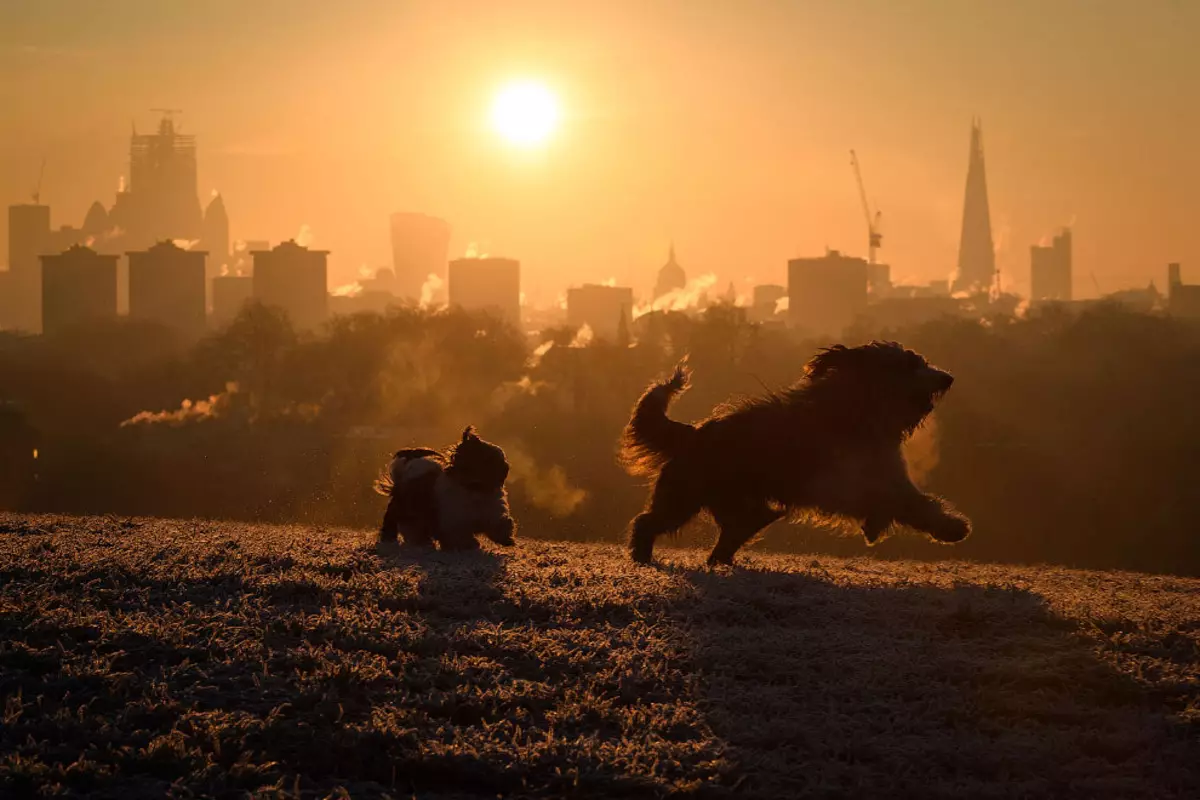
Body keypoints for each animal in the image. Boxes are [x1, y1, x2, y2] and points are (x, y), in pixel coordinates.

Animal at [374, 424, 516, 551]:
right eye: (491, 458)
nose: (507, 465)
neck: (474, 488)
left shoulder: (490, 512)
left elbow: (498, 524)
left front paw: (506, 539)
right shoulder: (453, 521)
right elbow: (458, 535)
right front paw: (470, 544)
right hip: (406, 513)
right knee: (403, 526)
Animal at [624, 340, 969, 566]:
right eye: (910, 363)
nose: (949, 378)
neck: (856, 411)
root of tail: (692, 433)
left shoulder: (882, 477)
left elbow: (911, 503)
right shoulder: (850, 483)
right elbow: (912, 504)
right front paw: (953, 528)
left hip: (741, 504)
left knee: (740, 528)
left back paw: (721, 560)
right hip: (684, 498)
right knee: (646, 521)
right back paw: (643, 557)